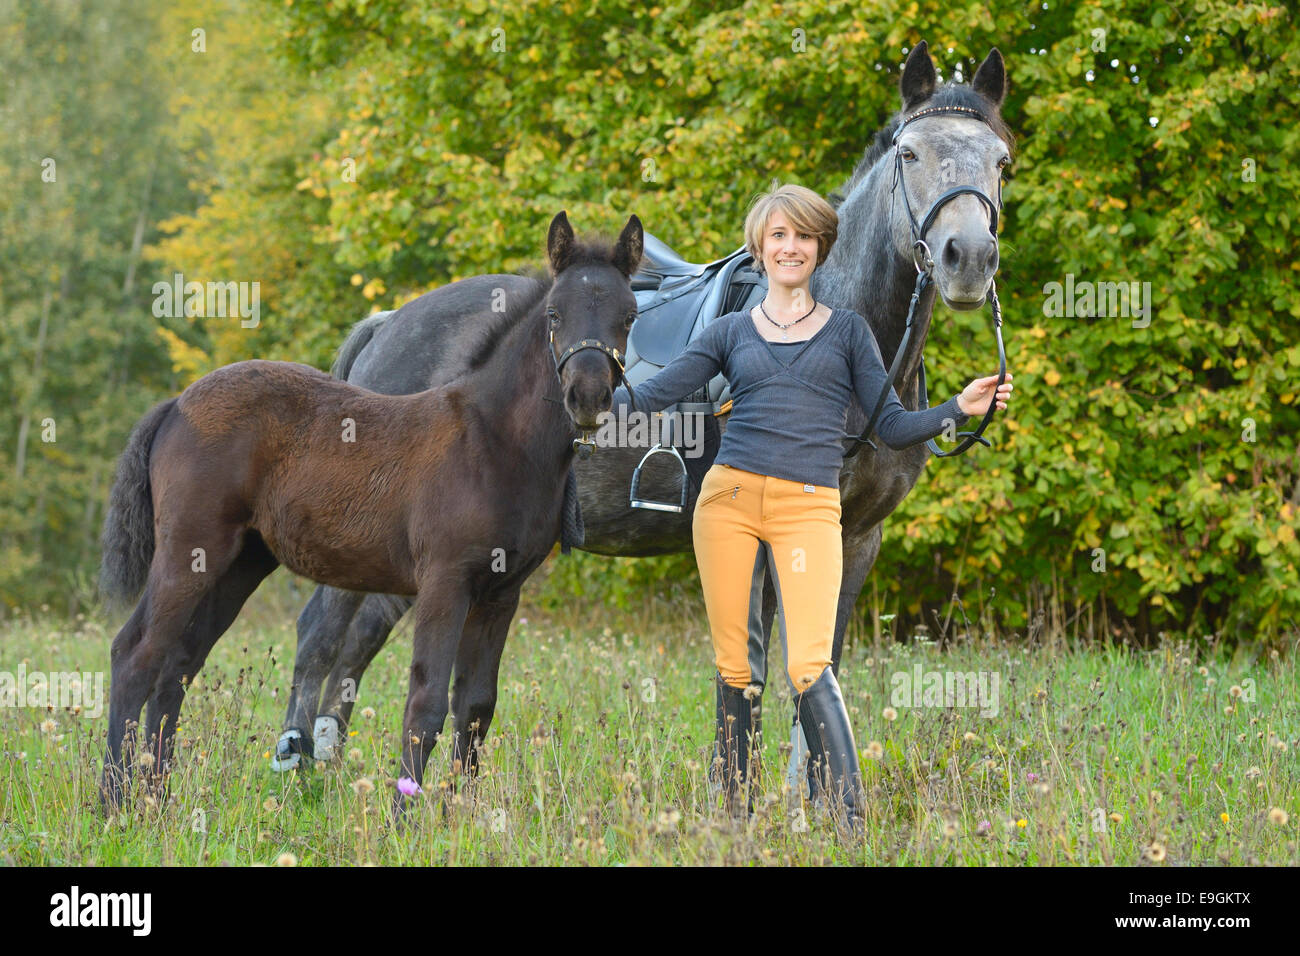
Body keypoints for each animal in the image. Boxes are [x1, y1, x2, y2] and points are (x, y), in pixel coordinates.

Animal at [97, 212, 644, 810]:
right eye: (554, 314)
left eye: (629, 315)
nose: (587, 397)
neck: (492, 438)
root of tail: (177, 404)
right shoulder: (445, 582)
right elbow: (425, 706)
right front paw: (404, 813)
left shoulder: (502, 592)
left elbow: (476, 707)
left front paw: (462, 813)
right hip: (190, 549)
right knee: (135, 653)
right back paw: (115, 802)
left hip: (241, 562)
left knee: (178, 664)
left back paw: (156, 798)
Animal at [275, 41, 1014, 787]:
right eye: (909, 153)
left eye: (1001, 160)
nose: (968, 258)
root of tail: (391, 322)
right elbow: (753, 672)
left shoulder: (855, 538)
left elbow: (818, 666)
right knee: (320, 631)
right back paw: (297, 768)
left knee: (362, 632)